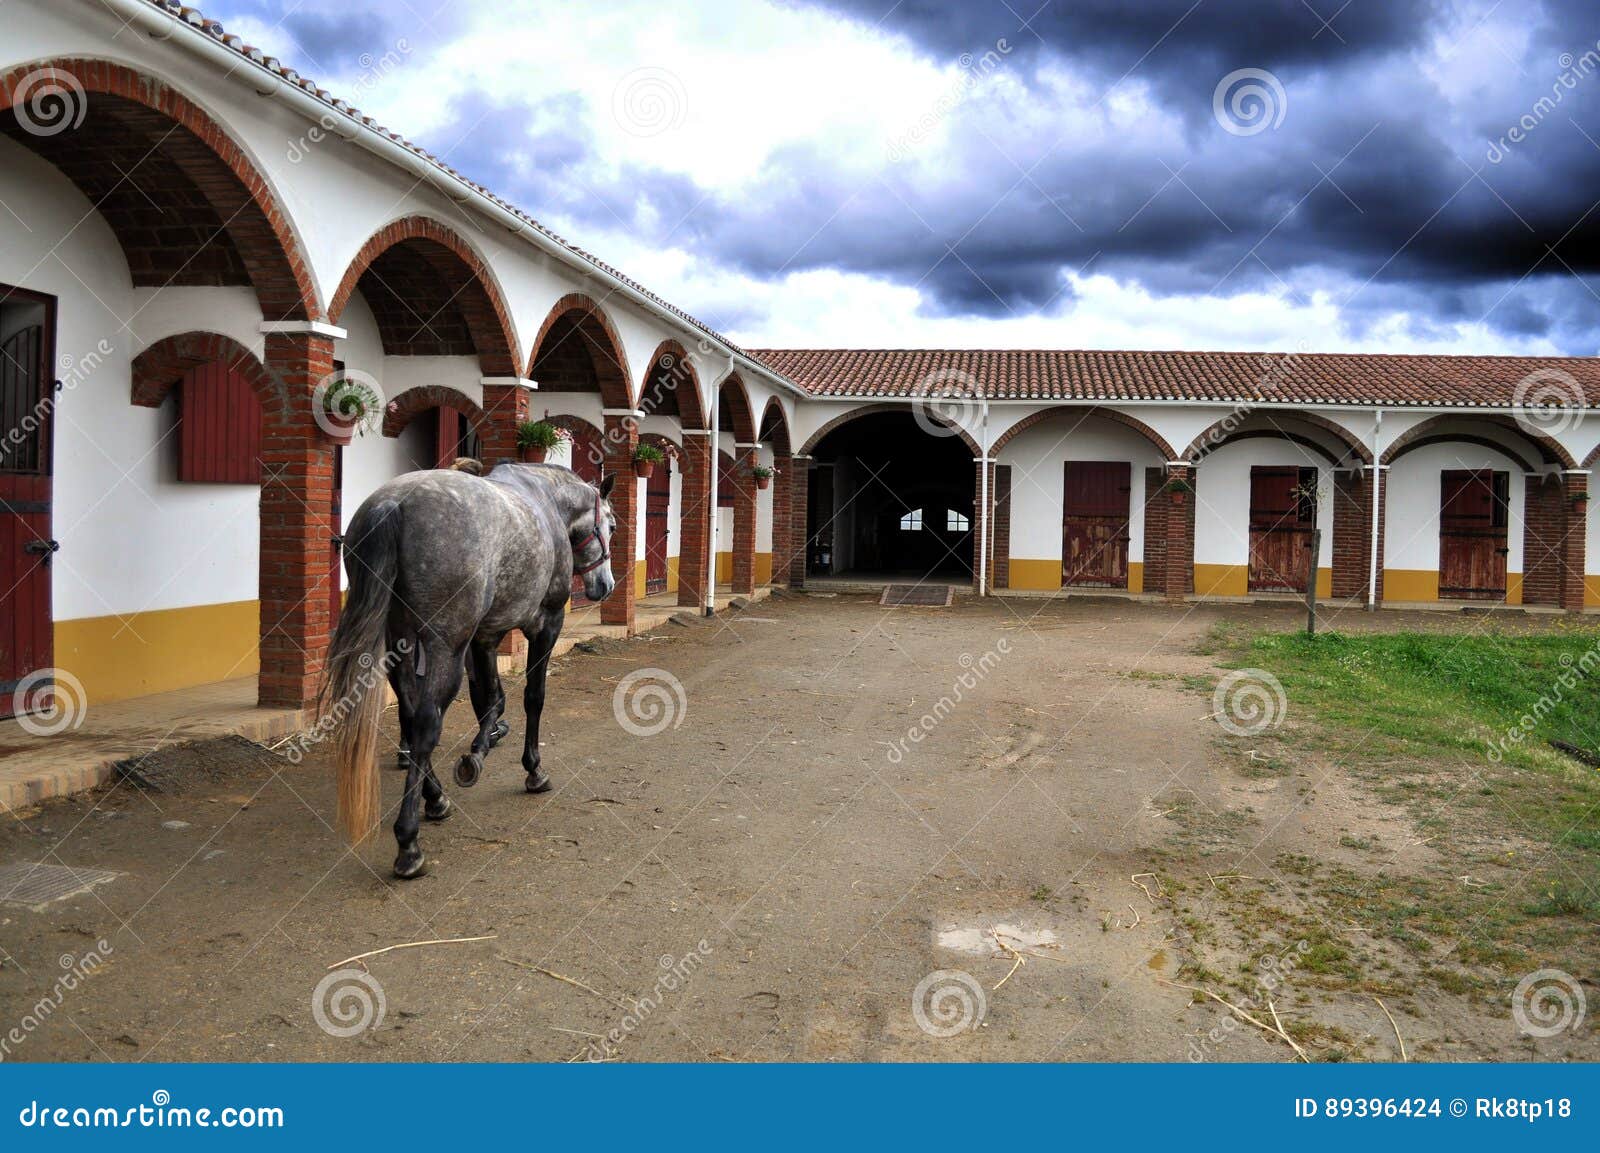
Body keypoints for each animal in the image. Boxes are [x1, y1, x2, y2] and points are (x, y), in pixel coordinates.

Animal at [322, 463, 617, 878]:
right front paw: (531, 768)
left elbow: (490, 698)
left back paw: (435, 797)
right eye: (611, 526)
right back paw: (408, 842)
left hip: (401, 638)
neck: (546, 502)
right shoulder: (545, 624)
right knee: (426, 722)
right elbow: (532, 698)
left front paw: (480, 749)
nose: (605, 585)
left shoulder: (484, 637)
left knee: (410, 714)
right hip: (445, 643)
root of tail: (395, 503)